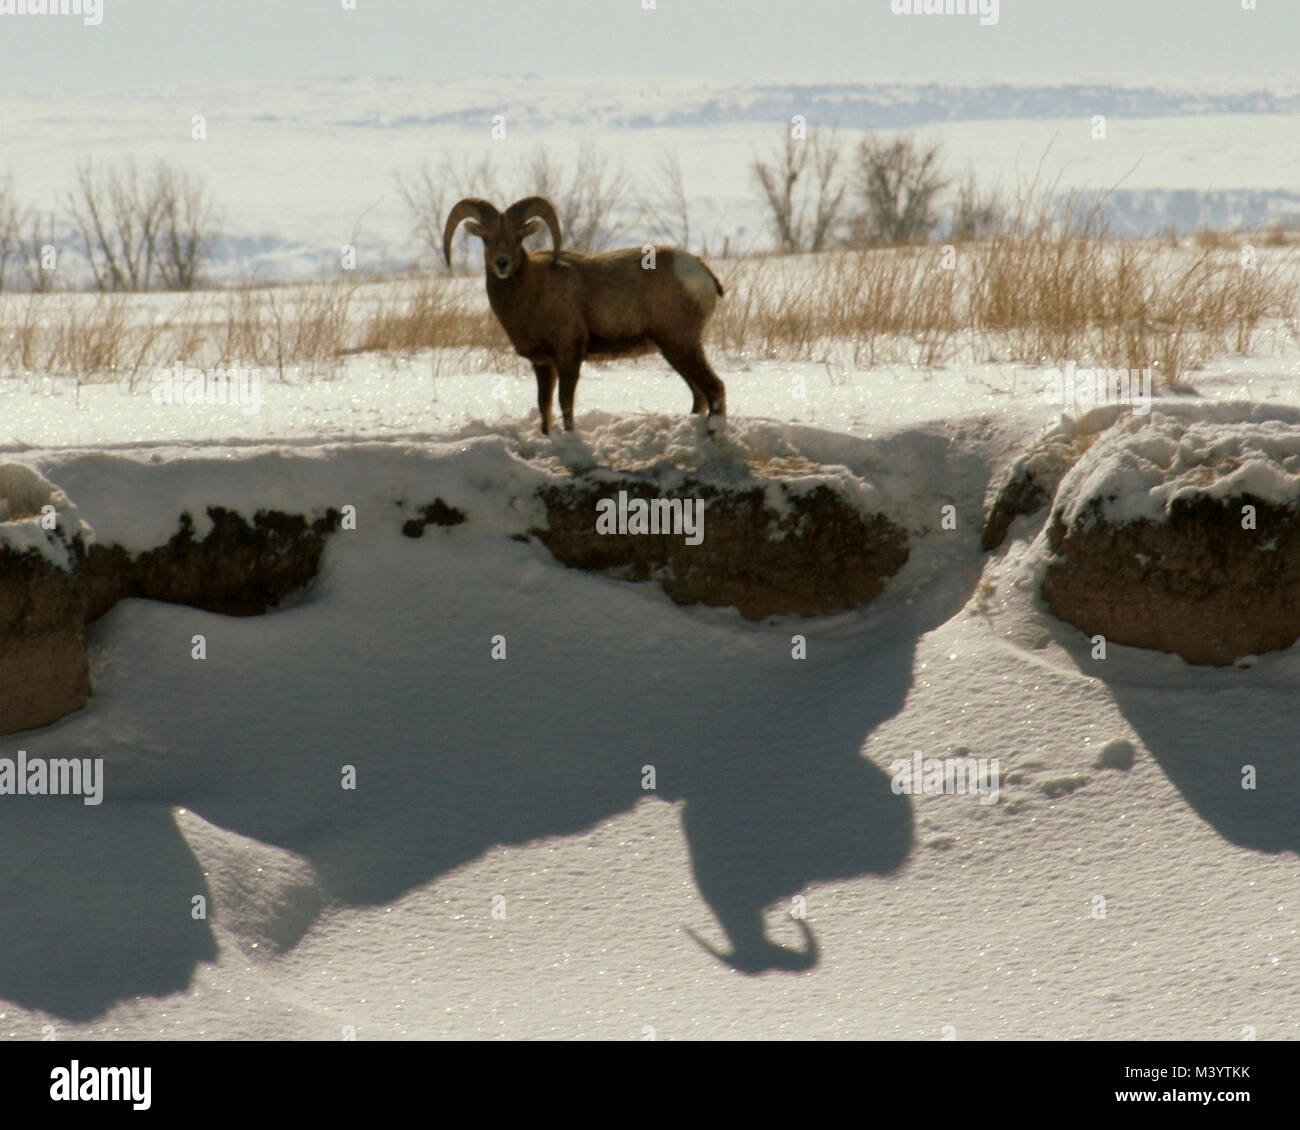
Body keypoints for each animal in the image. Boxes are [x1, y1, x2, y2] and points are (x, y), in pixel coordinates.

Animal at [442, 196, 727, 436]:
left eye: (518, 237)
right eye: (486, 238)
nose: (502, 264)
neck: (531, 293)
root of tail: (702, 271)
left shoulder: (569, 356)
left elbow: (565, 404)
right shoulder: (543, 363)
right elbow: (544, 406)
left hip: (681, 344)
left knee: (714, 389)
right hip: (674, 351)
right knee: (699, 395)